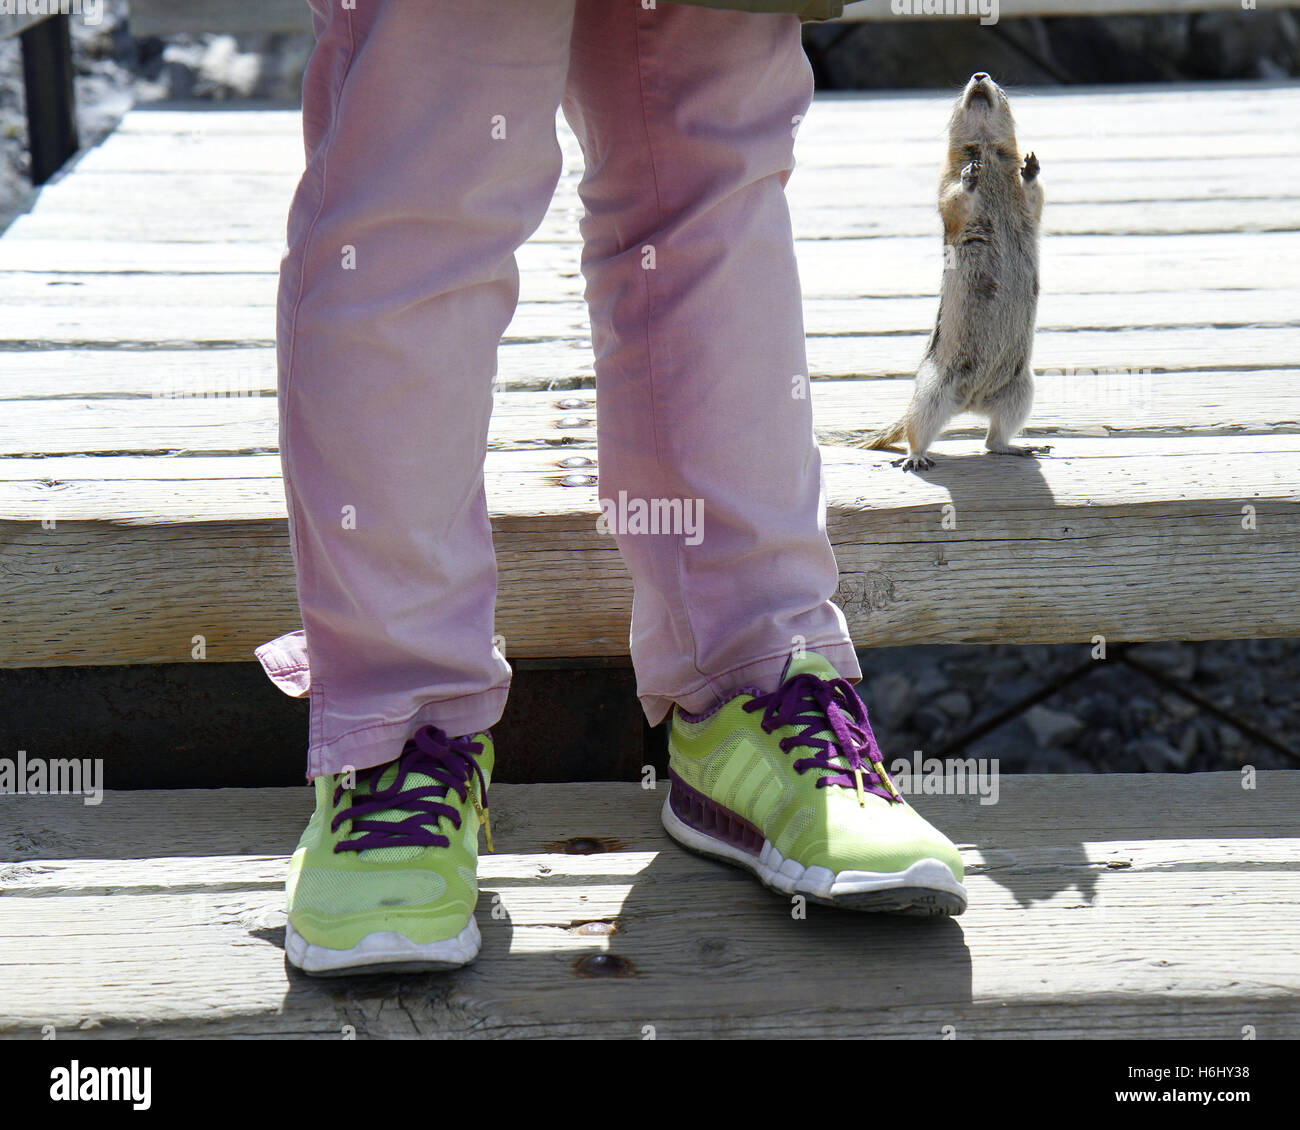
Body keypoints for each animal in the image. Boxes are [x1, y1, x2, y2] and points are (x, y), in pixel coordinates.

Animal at [821, 73, 1049, 472]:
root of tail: (971, 402)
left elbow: (1036, 200)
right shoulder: (944, 185)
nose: (979, 75)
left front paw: (1032, 168)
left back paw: (1017, 447)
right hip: (931, 392)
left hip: (1020, 391)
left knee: (992, 440)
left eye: (1000, 88)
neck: (985, 152)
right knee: (919, 428)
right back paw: (916, 457)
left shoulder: (1027, 207)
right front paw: (970, 178)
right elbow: (954, 201)